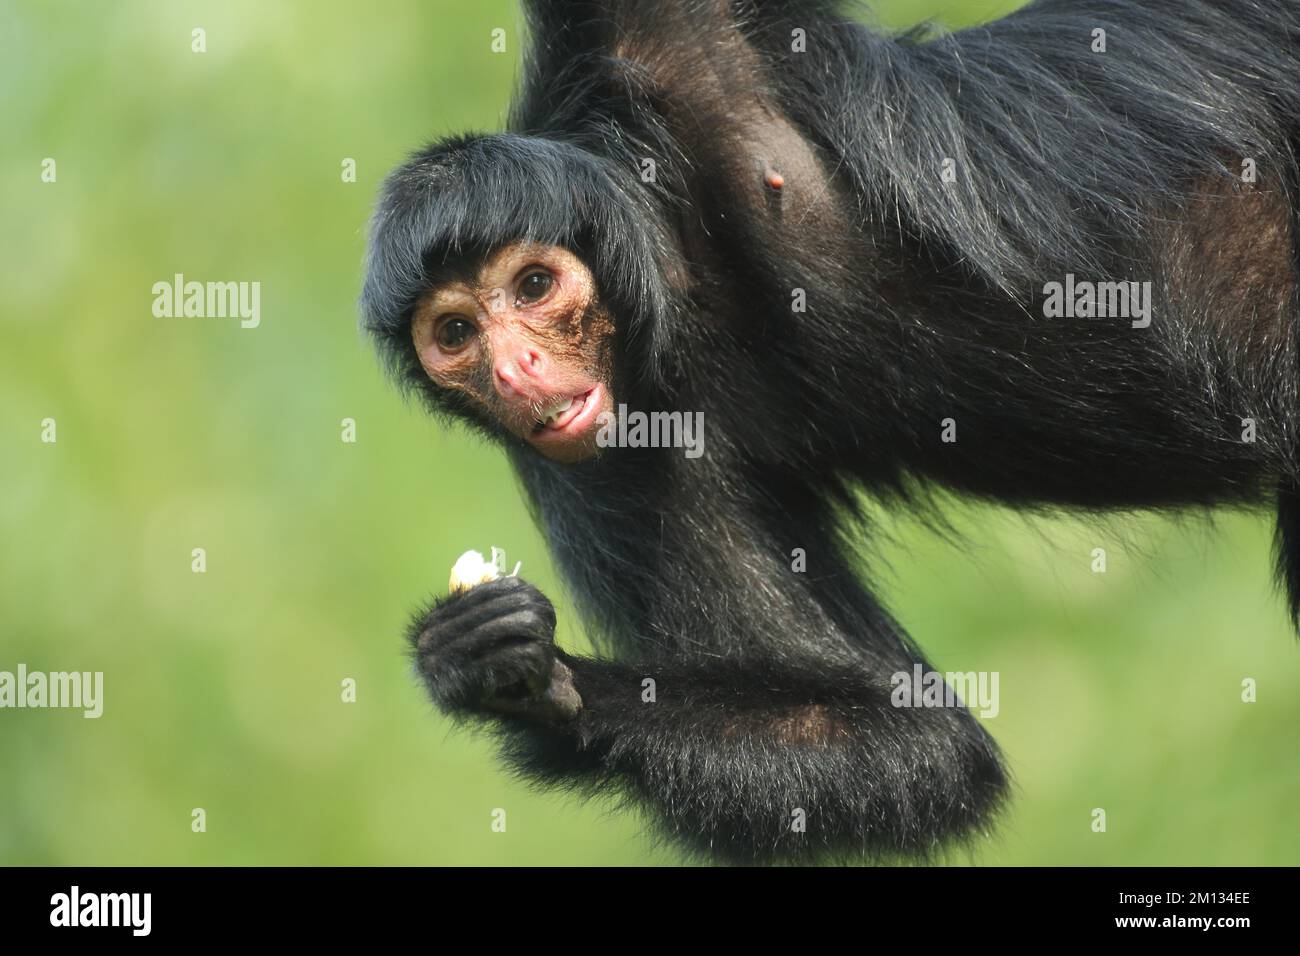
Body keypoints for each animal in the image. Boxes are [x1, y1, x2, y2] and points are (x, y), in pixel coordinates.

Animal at [361, 0, 1300, 863]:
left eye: (533, 286)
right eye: (456, 333)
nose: (515, 368)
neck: (684, 268)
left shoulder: (665, 43)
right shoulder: (600, 456)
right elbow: (920, 744)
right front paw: (498, 666)